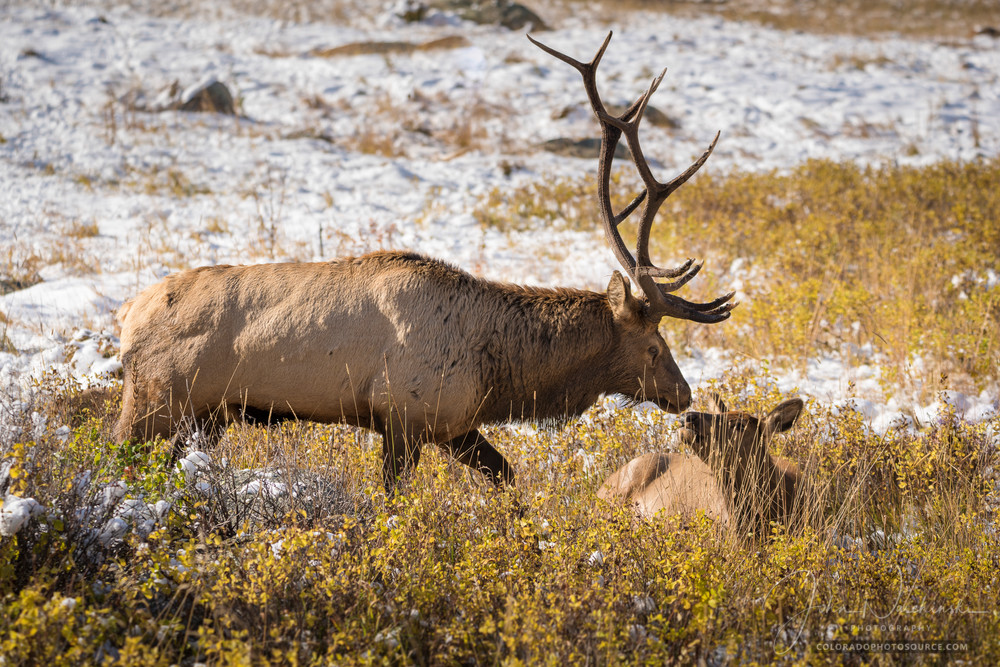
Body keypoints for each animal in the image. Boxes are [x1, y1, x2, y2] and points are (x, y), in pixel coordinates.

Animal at [115, 32, 735, 493]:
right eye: (654, 345)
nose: (684, 395)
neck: (499, 371)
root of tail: (125, 318)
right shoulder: (404, 418)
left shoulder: (455, 425)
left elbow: (506, 475)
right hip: (154, 401)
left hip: (206, 415)